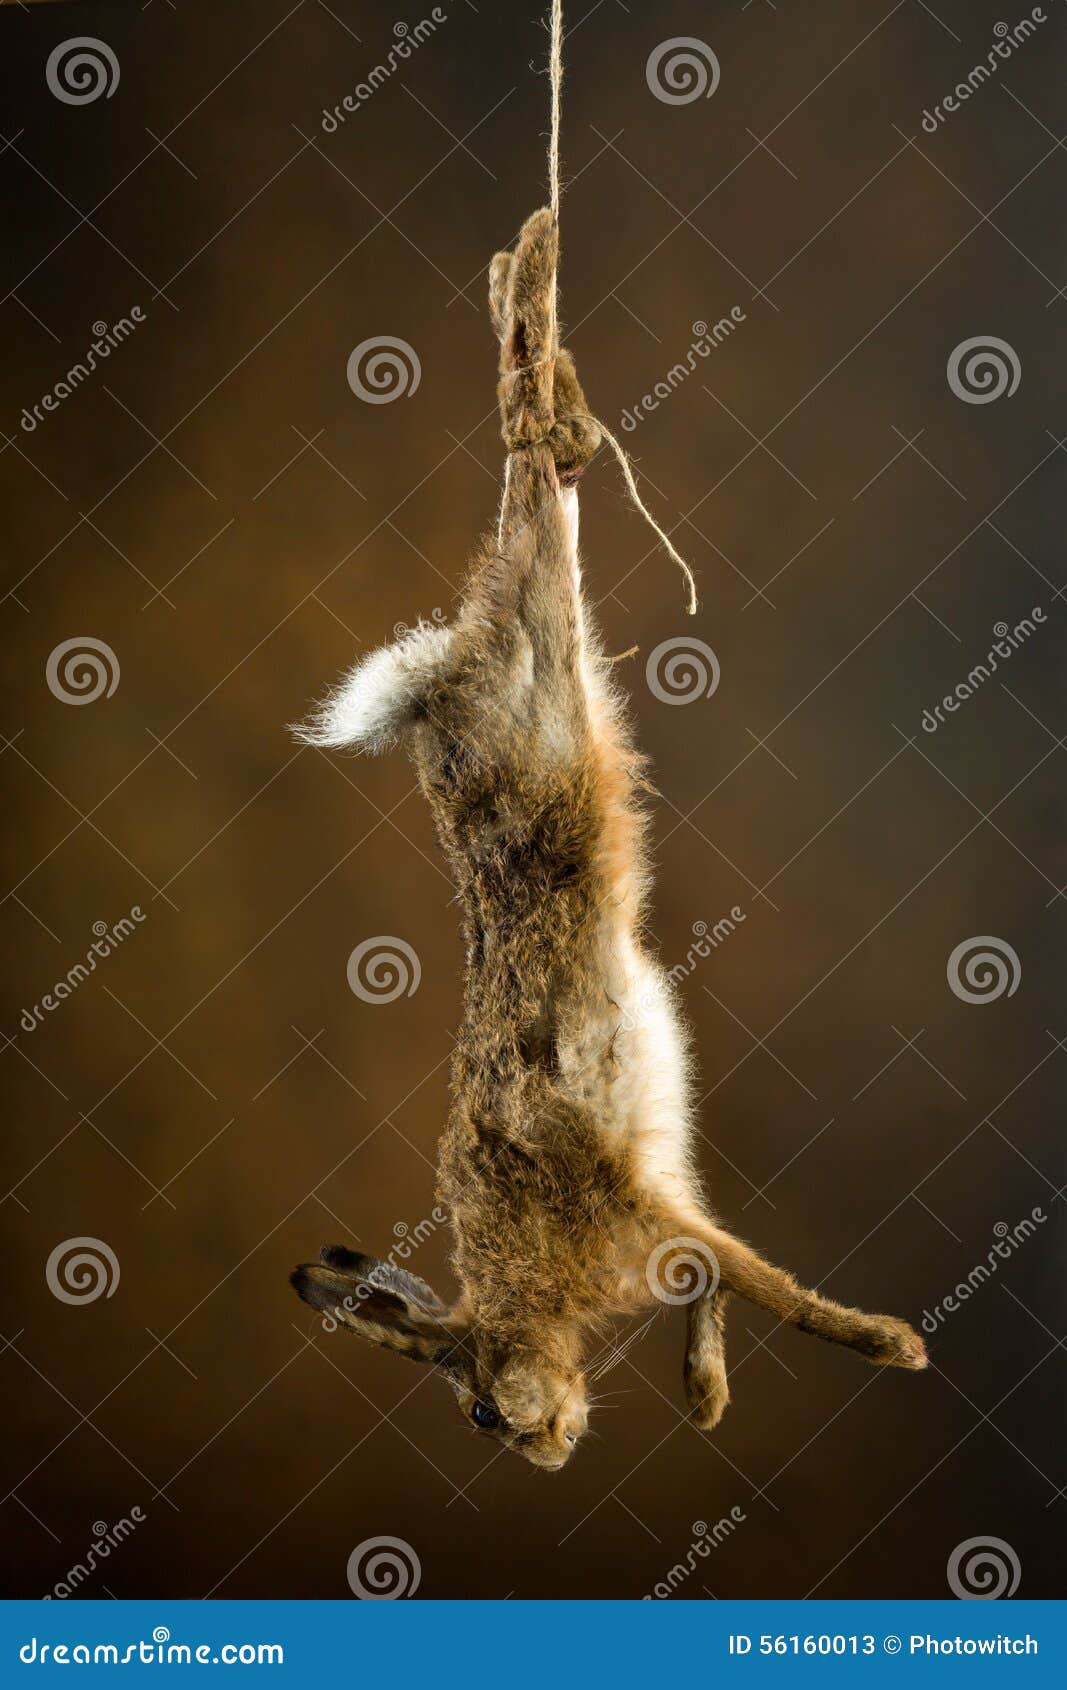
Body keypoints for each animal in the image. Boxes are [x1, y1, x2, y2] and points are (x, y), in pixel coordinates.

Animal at [290, 207, 927, 1472]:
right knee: (551, 466)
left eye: (479, 1411)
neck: (522, 1284)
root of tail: (448, 673)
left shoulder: (641, 1209)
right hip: (560, 642)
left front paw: (885, 1347)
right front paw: (708, 1397)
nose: (542, 1454)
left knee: (529, 476)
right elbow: (714, 1286)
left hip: (542, 655)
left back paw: (528, 284)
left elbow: (760, 1284)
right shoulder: (663, 1202)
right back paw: (531, 309)